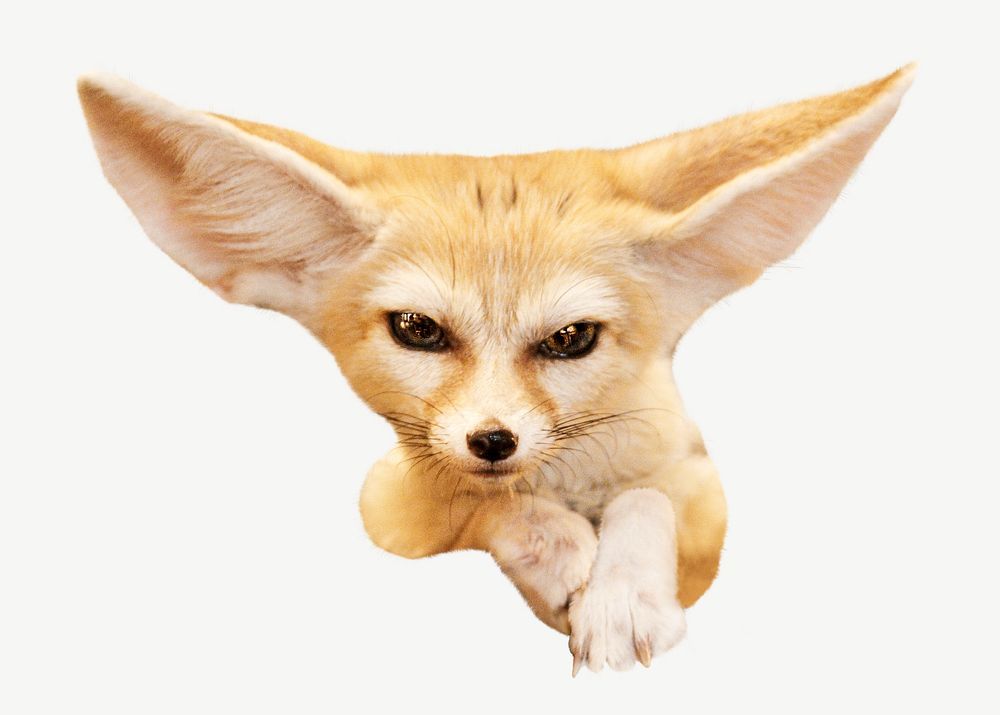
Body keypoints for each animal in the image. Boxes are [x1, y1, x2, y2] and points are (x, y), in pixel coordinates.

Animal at [78, 65, 914, 674]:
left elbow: (648, 499)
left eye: (570, 338)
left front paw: (623, 598)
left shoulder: (703, 490)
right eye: (418, 330)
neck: (569, 482)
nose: (493, 440)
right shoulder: (391, 506)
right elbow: (472, 500)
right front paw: (561, 550)